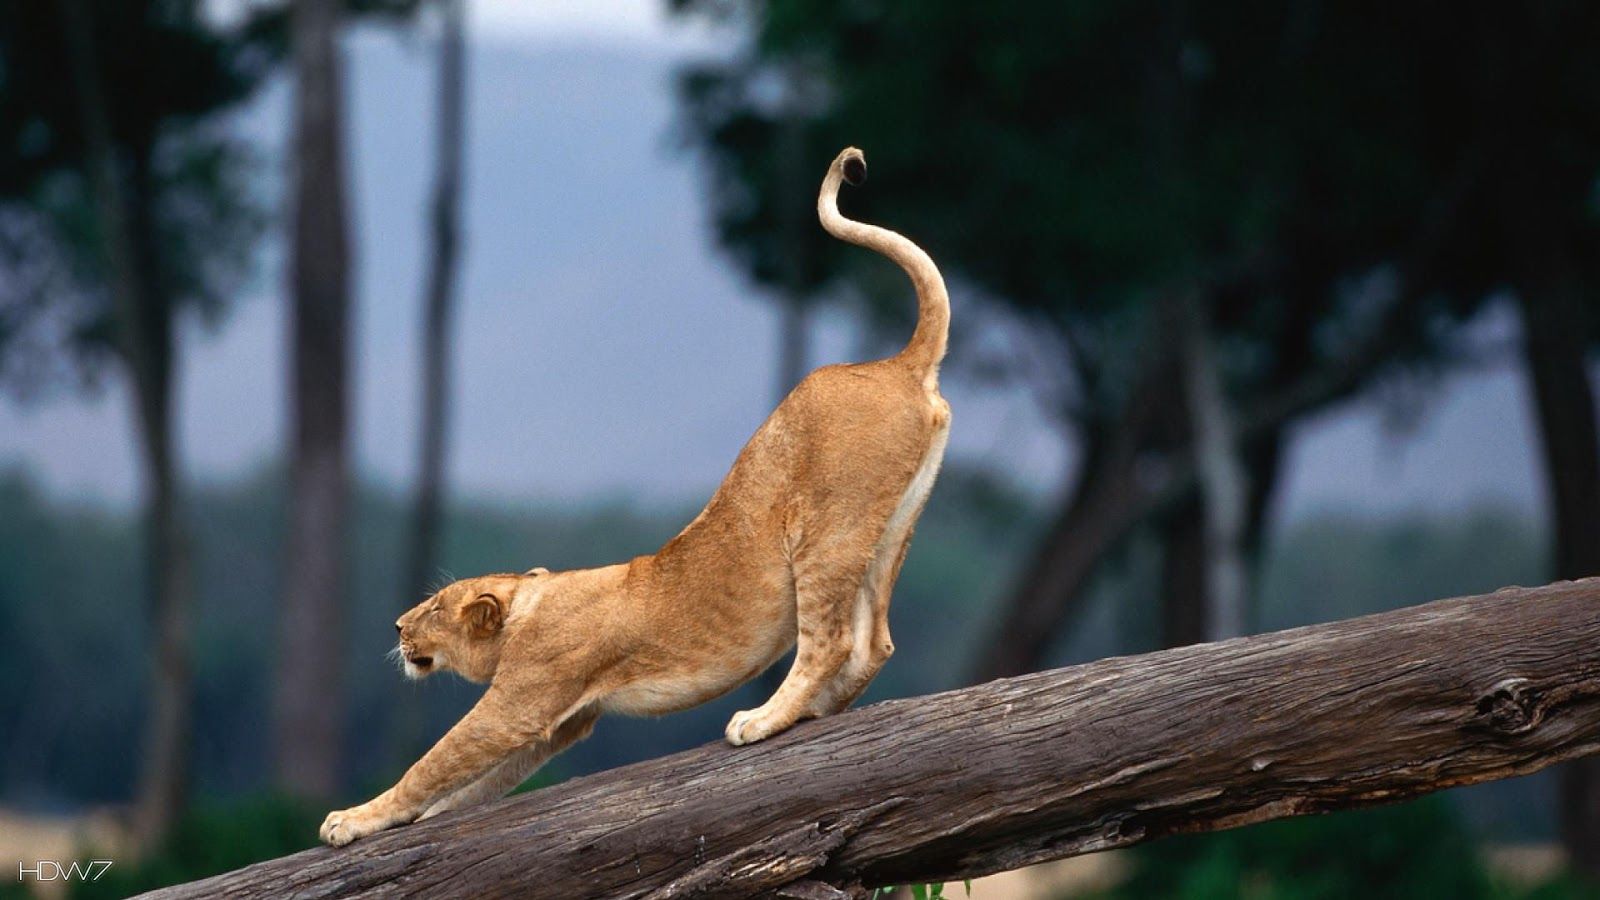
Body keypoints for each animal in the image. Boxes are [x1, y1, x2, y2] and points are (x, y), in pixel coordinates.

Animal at [320, 147, 951, 846]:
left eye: (433, 607)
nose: (397, 626)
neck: (528, 605)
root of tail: (898, 362)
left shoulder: (521, 699)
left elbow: (432, 764)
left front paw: (353, 818)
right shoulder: (562, 721)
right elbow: (477, 785)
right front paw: (427, 815)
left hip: (825, 529)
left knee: (831, 640)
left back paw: (764, 719)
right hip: (893, 525)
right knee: (874, 643)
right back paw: (812, 712)